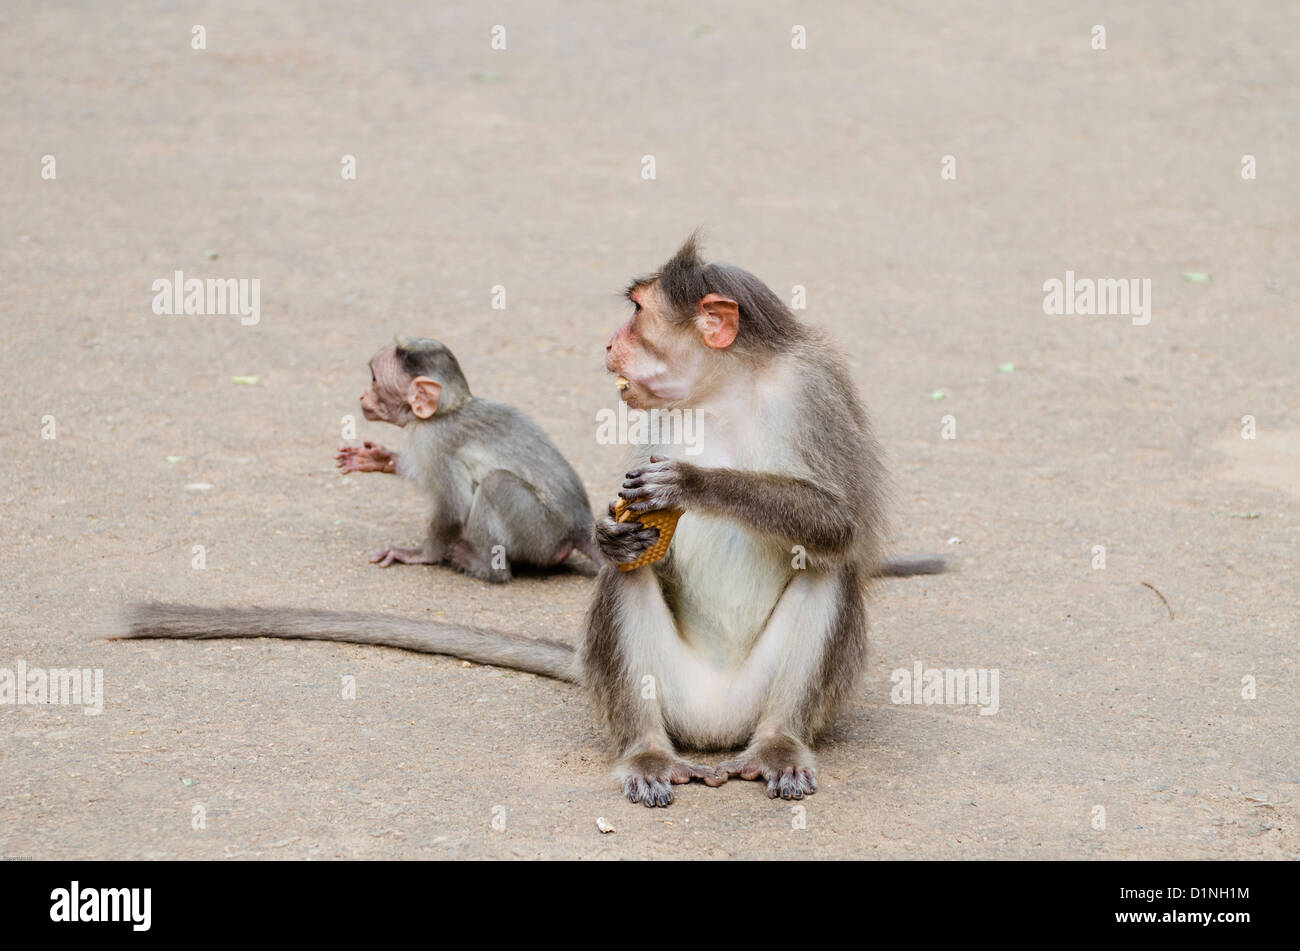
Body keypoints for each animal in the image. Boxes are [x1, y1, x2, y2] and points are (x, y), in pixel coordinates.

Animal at [333, 335, 600, 582]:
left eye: (374, 379)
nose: (362, 395)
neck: (446, 410)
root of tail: (580, 526)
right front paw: (379, 459)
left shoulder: (432, 441)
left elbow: (453, 505)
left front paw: (420, 555)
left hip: (541, 533)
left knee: (496, 484)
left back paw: (486, 568)